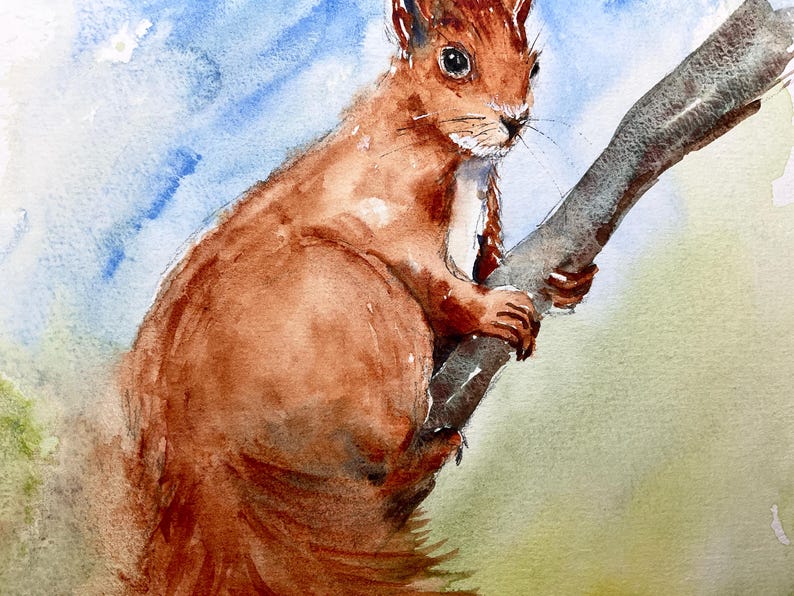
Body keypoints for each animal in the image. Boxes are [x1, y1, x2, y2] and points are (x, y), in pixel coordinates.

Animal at [120, 0, 596, 593]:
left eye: (533, 65)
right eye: (454, 61)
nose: (514, 120)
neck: (454, 152)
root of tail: (200, 452)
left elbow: (486, 267)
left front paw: (570, 282)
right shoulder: (379, 210)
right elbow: (436, 281)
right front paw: (491, 309)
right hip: (367, 313)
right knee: (383, 467)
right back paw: (426, 452)